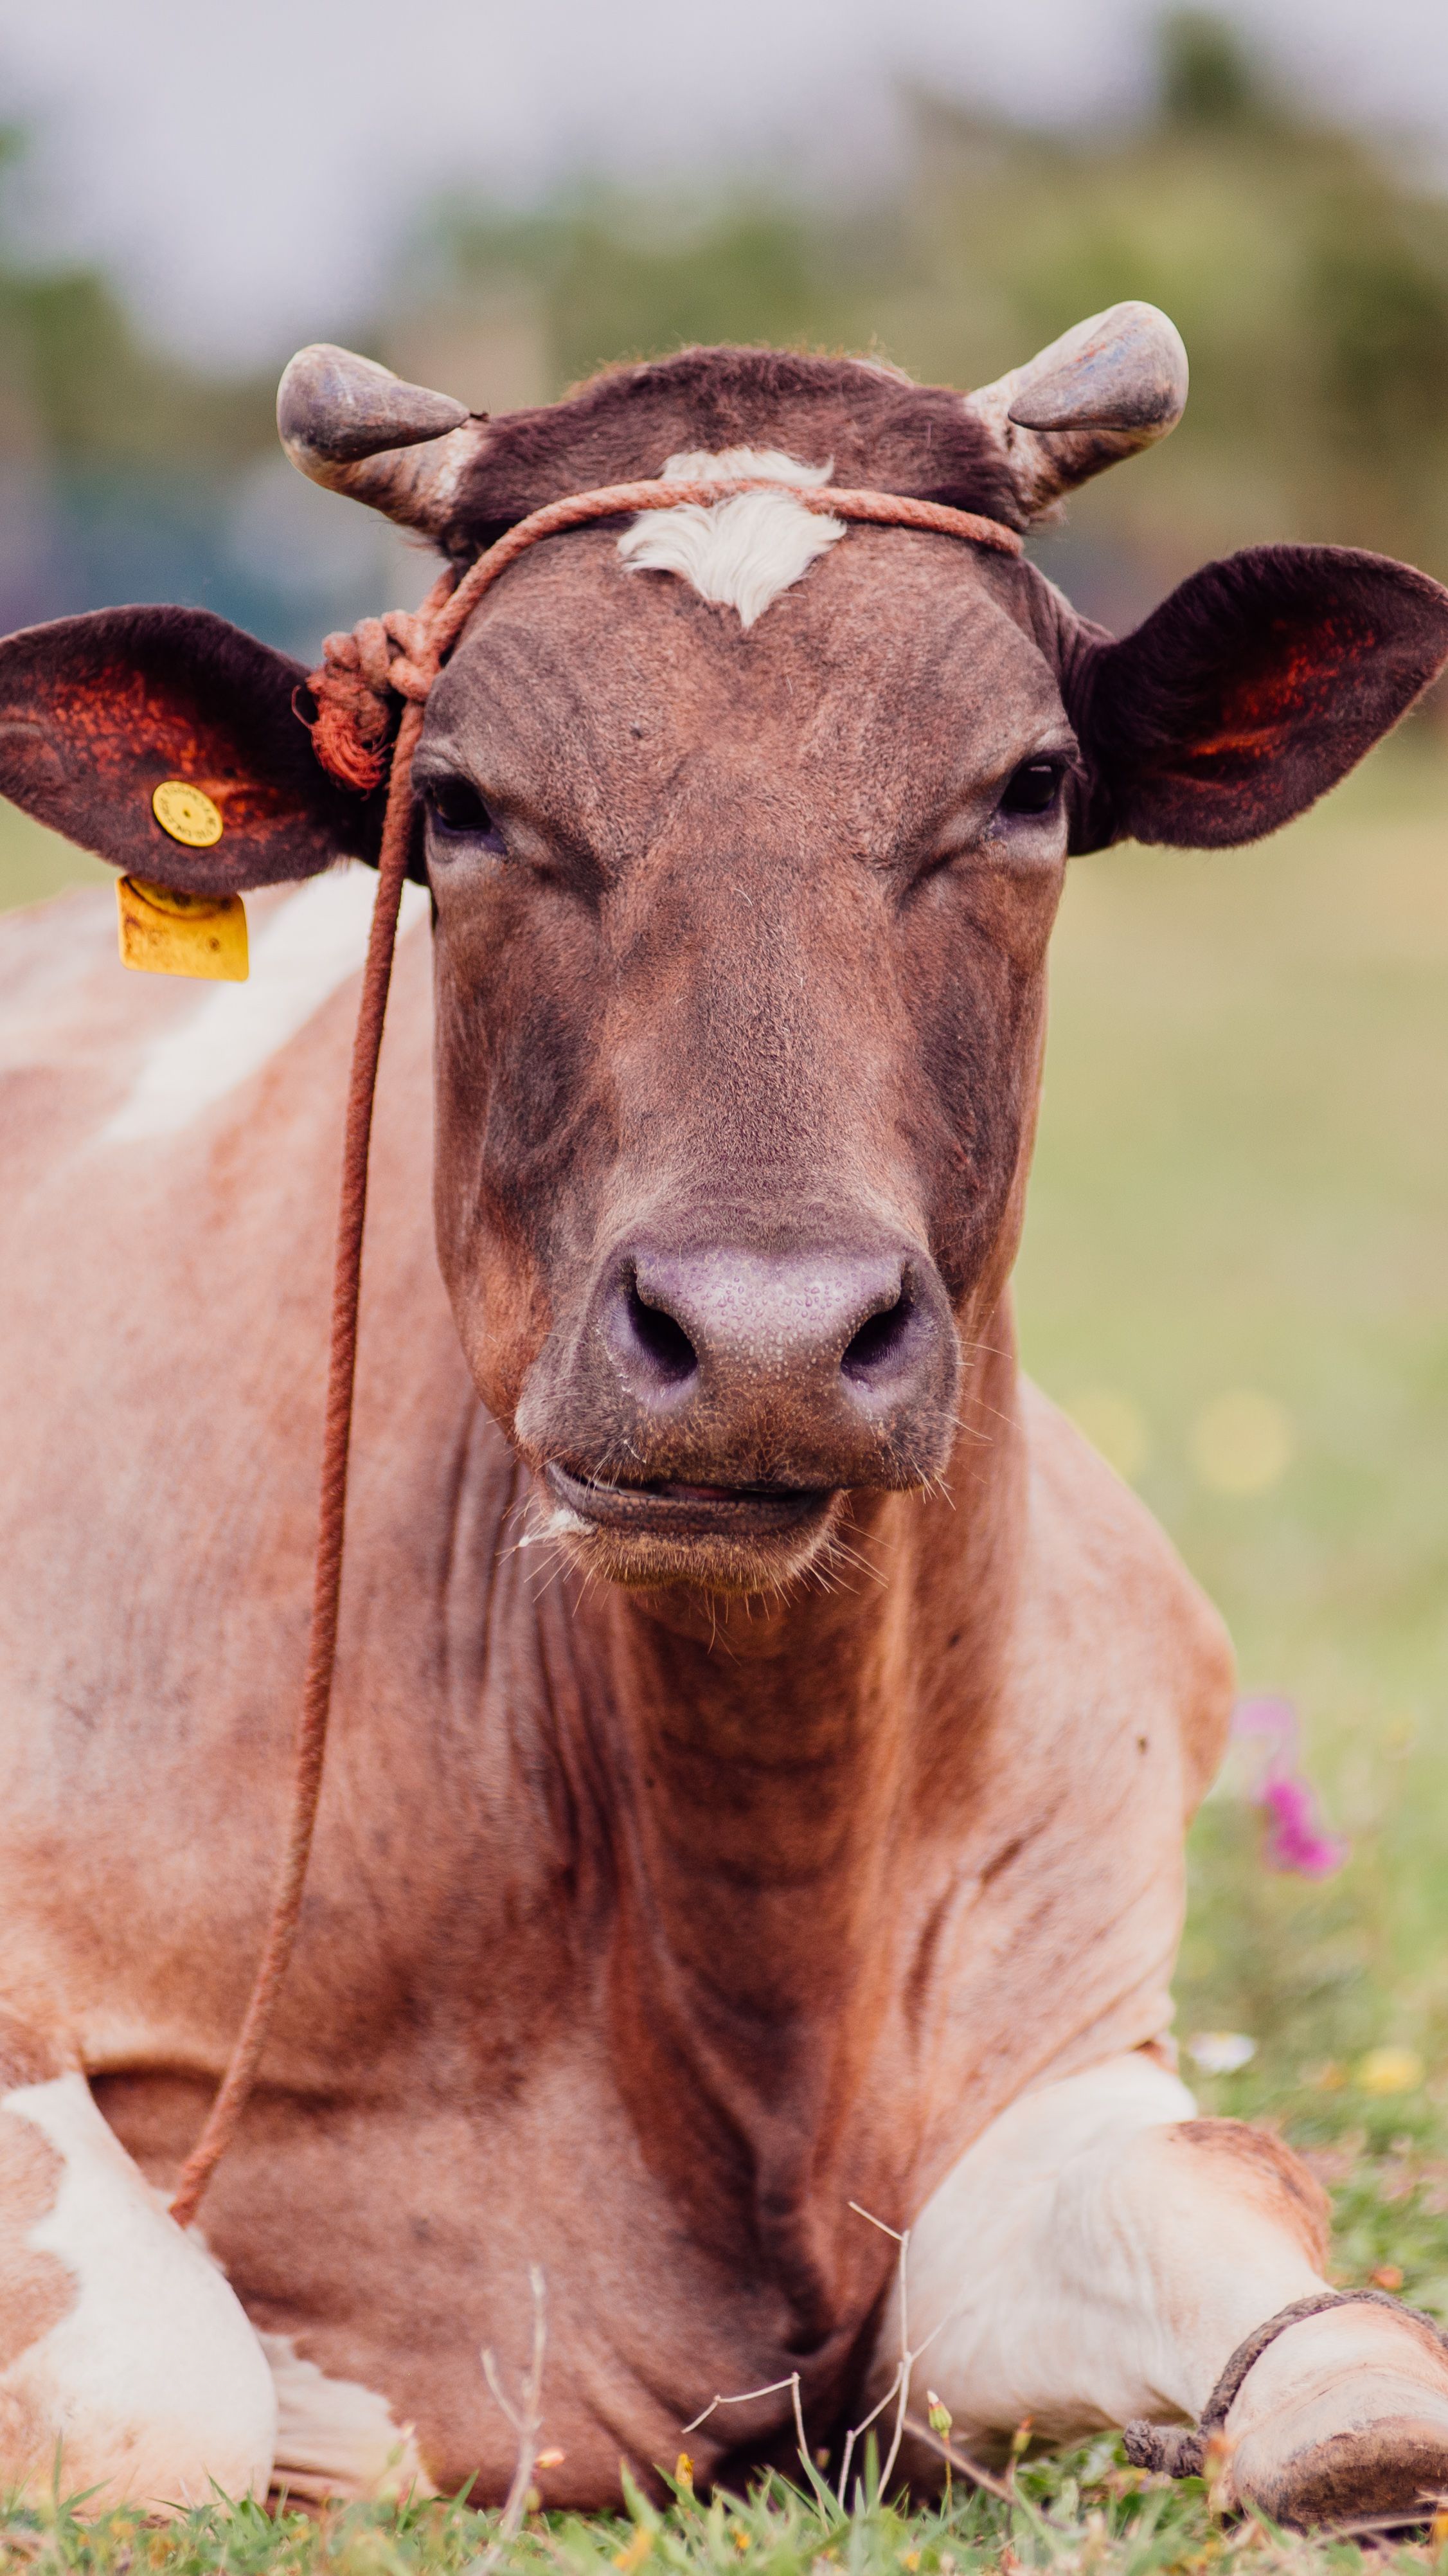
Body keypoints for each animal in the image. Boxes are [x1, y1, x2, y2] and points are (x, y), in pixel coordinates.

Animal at [1, 305, 1447, 2532]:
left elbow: (1308, 2330)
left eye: (1029, 786)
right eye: (461, 808)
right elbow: (168, 2375)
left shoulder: (1075, 1996)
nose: (764, 1334)